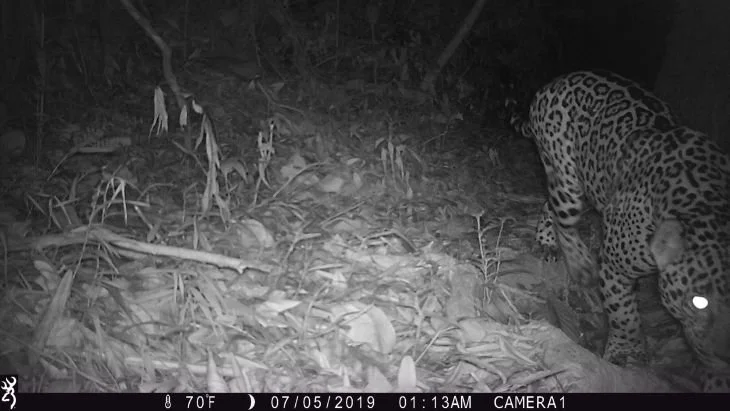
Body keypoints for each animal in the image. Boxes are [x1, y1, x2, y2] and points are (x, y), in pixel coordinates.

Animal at [511, 69, 730, 392]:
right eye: (698, 302)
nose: (722, 356)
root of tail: (557, 80)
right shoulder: (615, 264)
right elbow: (623, 313)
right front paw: (626, 353)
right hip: (566, 176)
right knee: (564, 217)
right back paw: (579, 265)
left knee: (550, 204)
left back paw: (548, 241)